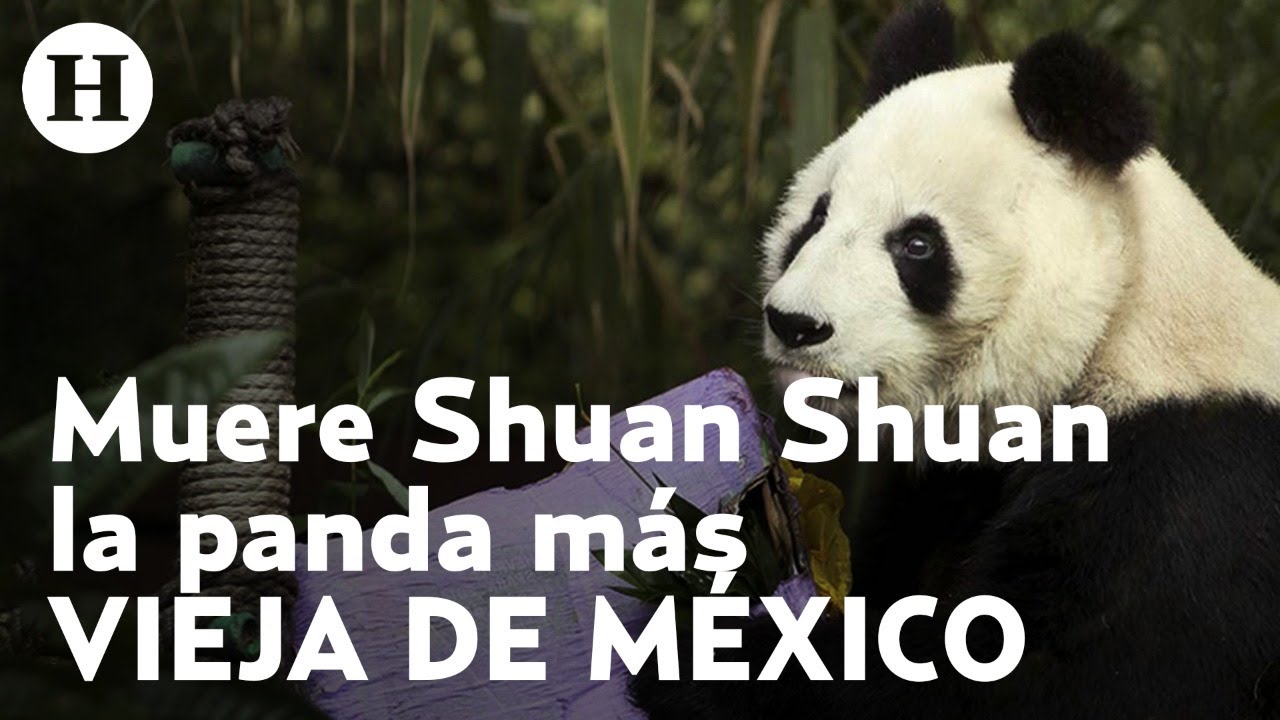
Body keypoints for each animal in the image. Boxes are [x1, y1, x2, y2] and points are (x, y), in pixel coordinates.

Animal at [632, 2, 1280, 718]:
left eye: (917, 244)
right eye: (816, 219)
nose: (796, 324)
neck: (1118, 320)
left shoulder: (1181, 489)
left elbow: (1029, 680)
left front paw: (696, 651)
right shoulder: (948, 484)